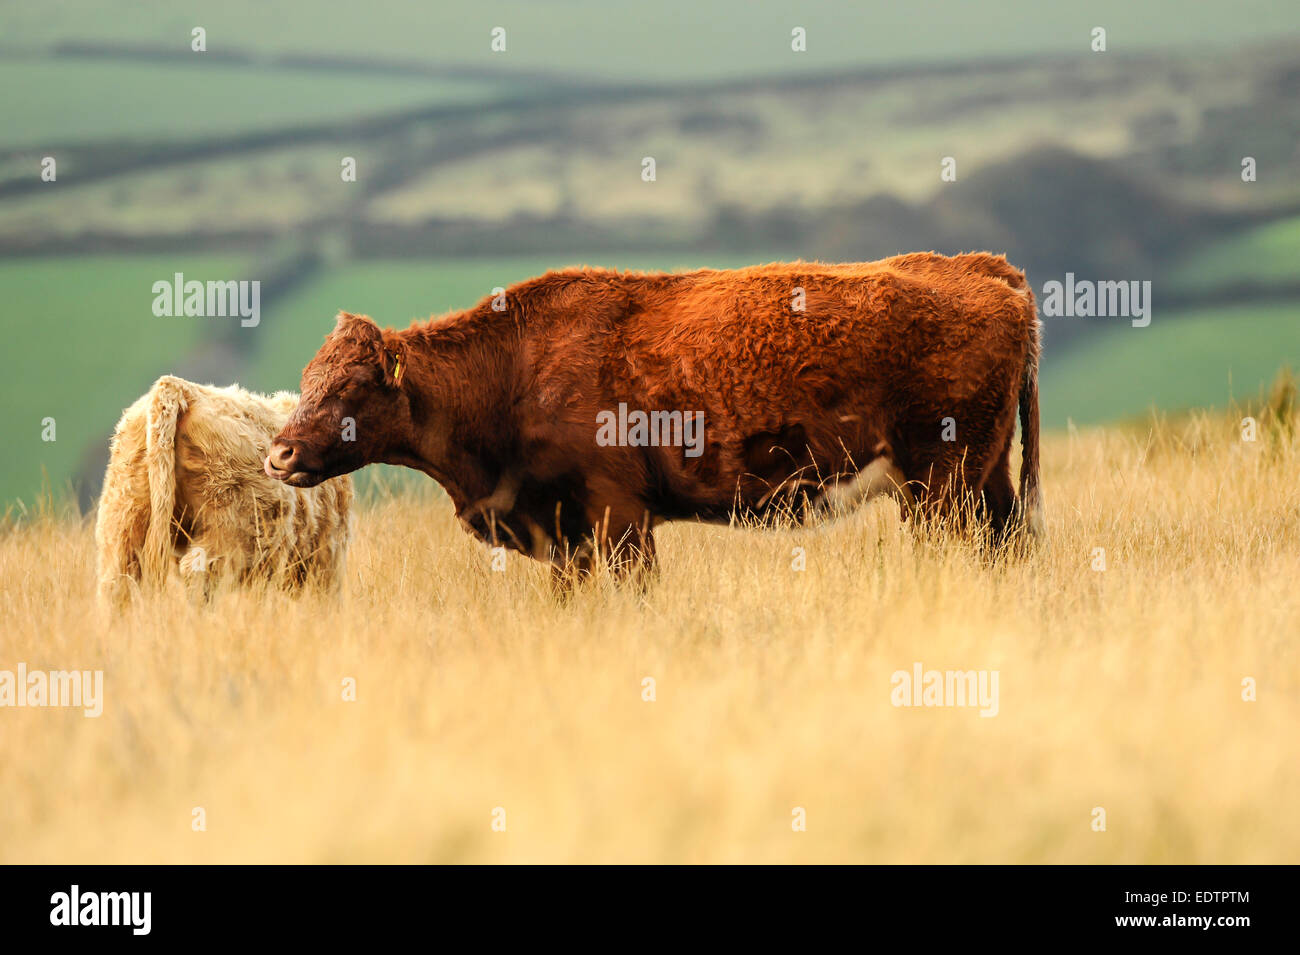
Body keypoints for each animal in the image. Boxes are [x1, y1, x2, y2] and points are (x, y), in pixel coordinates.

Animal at [96, 376, 353, 610]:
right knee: (198, 570)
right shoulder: (326, 556)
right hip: (235, 527)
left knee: (118, 582)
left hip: (124, 514)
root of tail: (178, 387)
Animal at [265, 252, 1041, 583]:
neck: (513, 368)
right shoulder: (566, 536)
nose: (279, 454)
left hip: (942, 488)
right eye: (305, 381)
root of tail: (983, 265)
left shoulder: (620, 521)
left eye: (353, 386)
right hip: (986, 483)